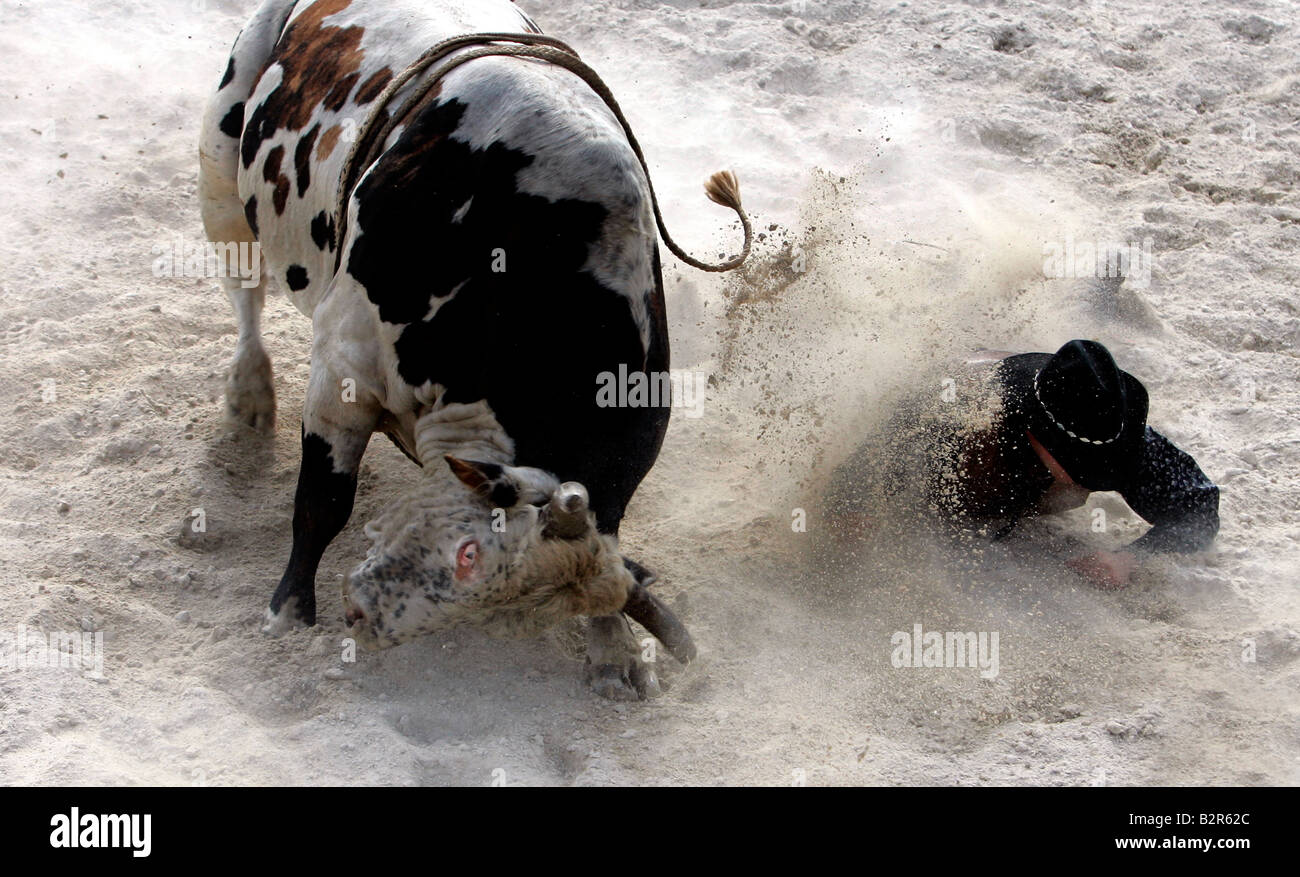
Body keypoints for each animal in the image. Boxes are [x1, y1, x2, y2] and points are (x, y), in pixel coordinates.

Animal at [198, 0, 746, 699]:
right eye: (466, 554)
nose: (363, 618)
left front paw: (615, 650)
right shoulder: (343, 367)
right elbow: (322, 502)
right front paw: (289, 612)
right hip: (220, 156)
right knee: (242, 286)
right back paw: (249, 395)